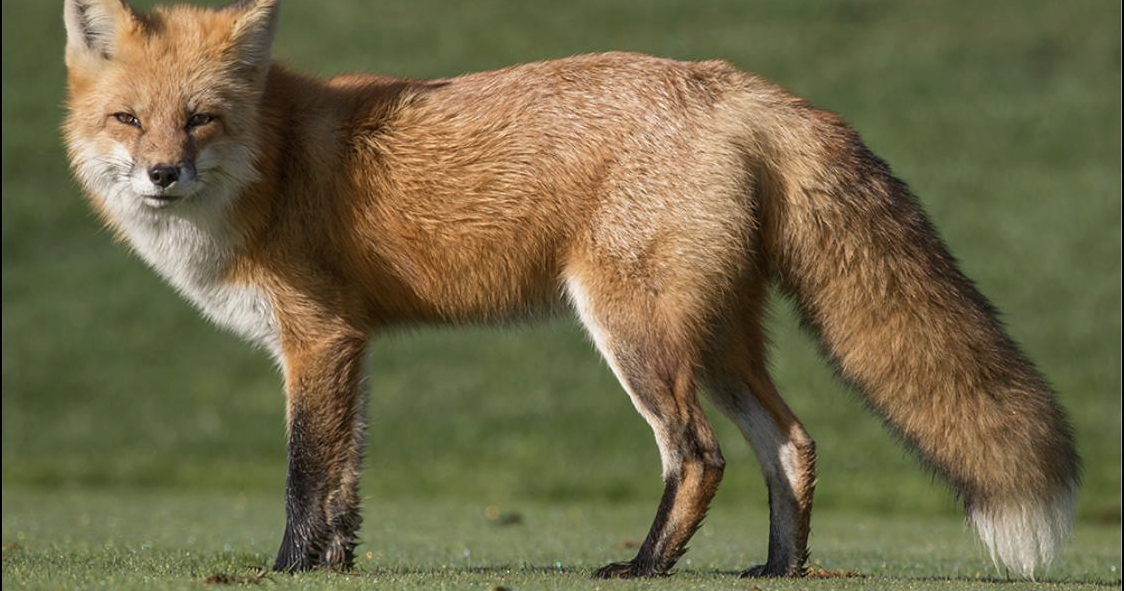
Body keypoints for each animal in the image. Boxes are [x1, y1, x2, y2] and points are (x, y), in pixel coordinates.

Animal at [62, 0, 1080, 580]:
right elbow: (346, 485)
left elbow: (304, 478)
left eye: (201, 119)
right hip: (718, 337)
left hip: (637, 331)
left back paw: (644, 566)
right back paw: (778, 569)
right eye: (129, 119)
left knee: (699, 454)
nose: (161, 175)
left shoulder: (318, 339)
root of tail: (731, 83)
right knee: (791, 443)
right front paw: (336, 568)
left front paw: (284, 570)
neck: (269, 169)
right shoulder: (351, 348)